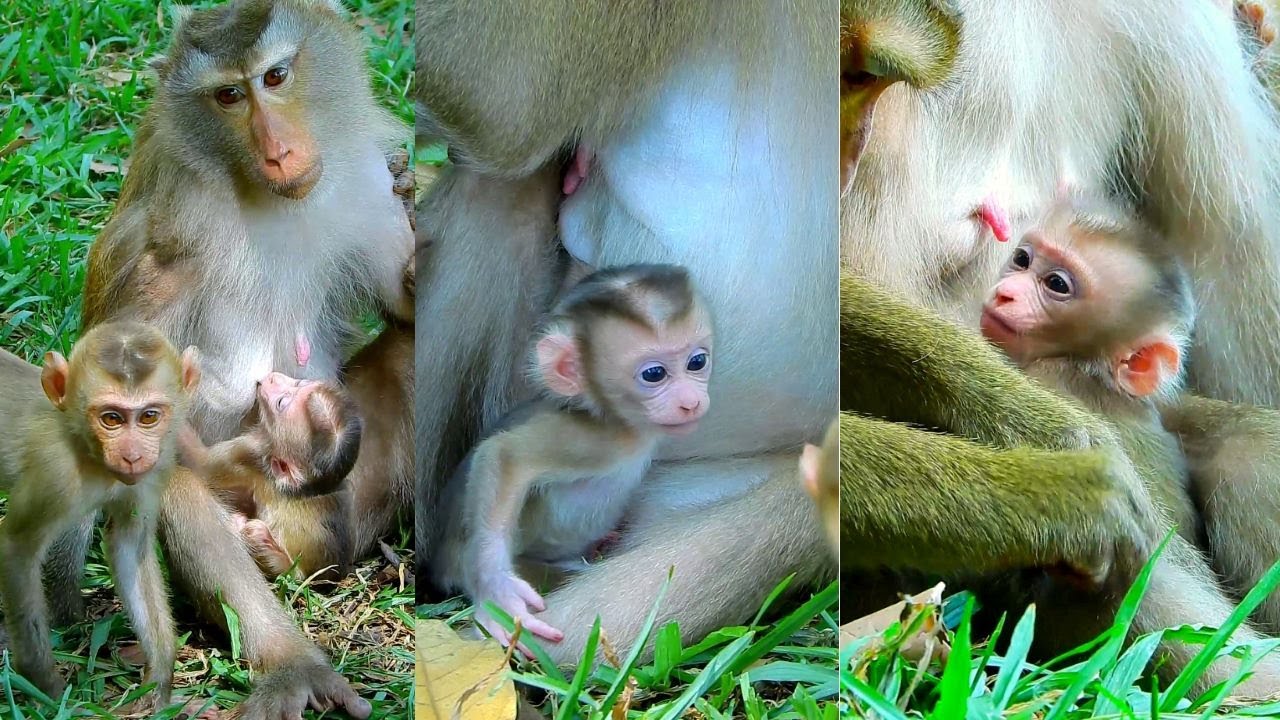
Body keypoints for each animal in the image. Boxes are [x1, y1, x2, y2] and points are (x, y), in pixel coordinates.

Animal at [0, 322, 198, 709]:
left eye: (149, 416)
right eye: (111, 418)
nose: (133, 456)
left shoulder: (157, 465)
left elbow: (129, 544)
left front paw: (159, 682)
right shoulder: (55, 473)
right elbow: (17, 549)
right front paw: (49, 692)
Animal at [70, 1, 411, 714]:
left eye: (275, 76)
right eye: (228, 96)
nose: (277, 149)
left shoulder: (362, 179)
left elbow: (407, 311)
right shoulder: (170, 221)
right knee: (173, 477)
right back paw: (290, 660)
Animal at [431, 264, 714, 648]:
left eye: (697, 361)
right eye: (654, 374)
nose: (691, 402)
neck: (620, 422)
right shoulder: (595, 440)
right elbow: (504, 456)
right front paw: (498, 591)